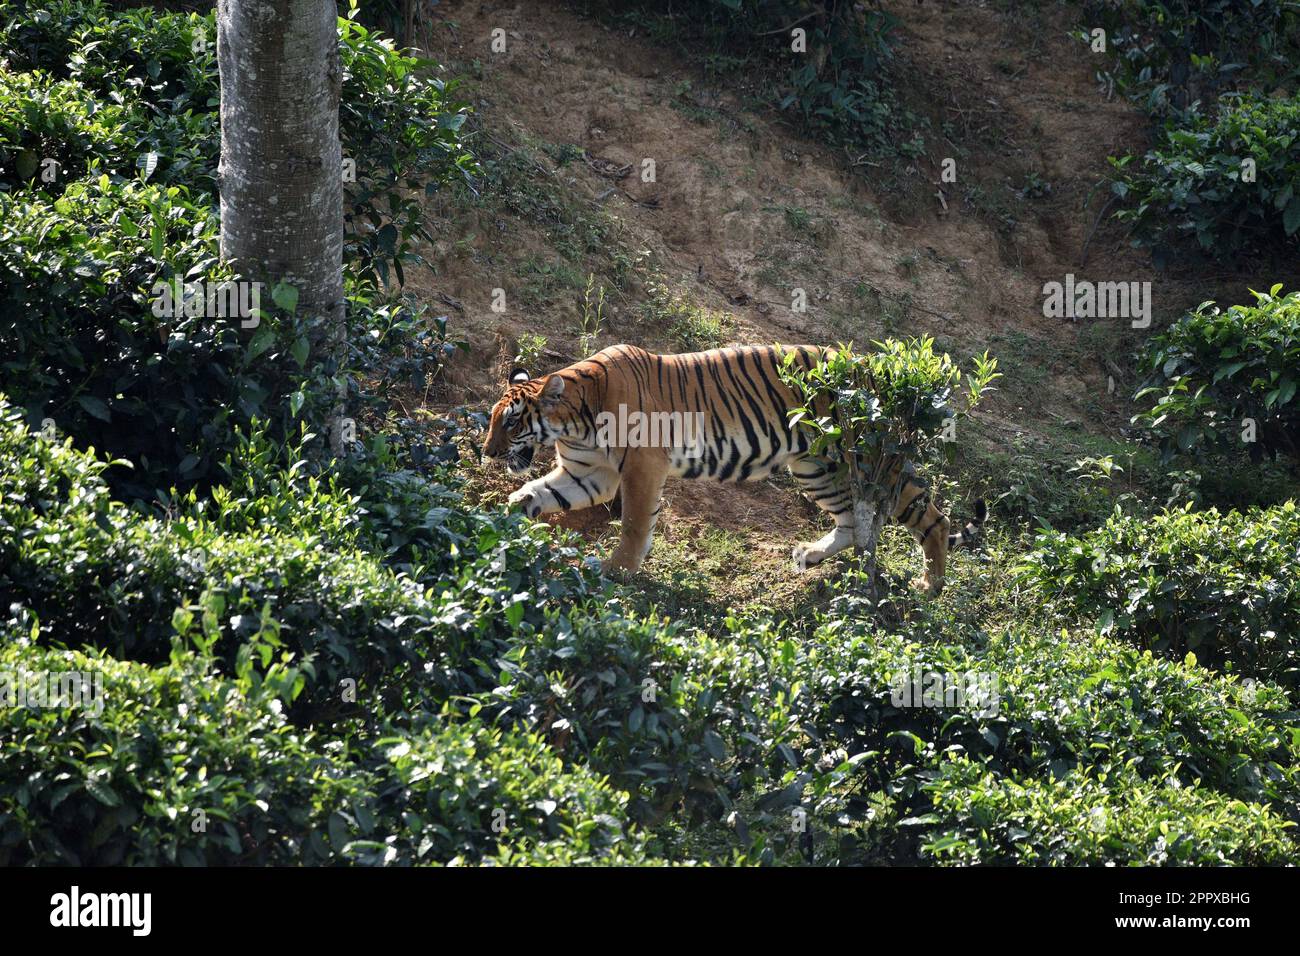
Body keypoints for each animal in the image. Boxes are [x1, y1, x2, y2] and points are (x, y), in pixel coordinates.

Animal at [482, 343, 986, 594]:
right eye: (492, 418)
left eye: (511, 422)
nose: (486, 453)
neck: (573, 422)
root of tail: (882, 374)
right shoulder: (592, 474)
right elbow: (536, 494)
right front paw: (504, 520)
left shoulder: (641, 468)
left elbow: (633, 524)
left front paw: (618, 570)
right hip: (816, 467)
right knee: (851, 522)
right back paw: (811, 556)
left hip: (870, 463)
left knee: (933, 519)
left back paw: (930, 584)